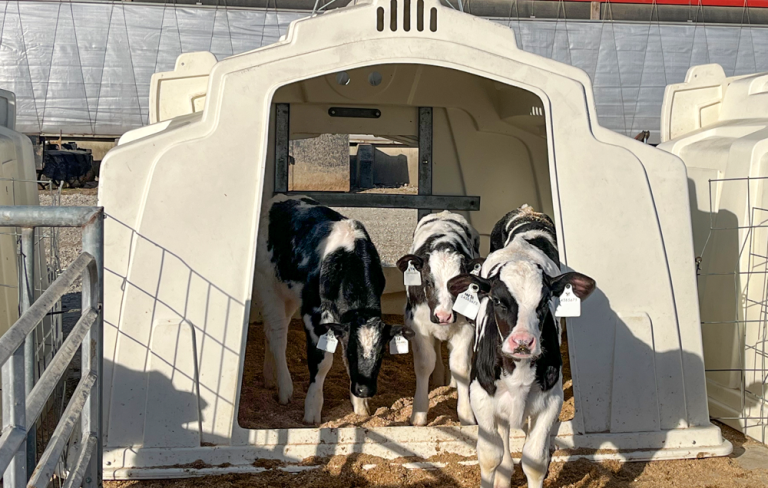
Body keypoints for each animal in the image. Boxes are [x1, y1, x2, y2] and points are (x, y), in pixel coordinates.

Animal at [253, 194, 411, 424]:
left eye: (382, 352)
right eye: (353, 352)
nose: (365, 390)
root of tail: (280, 198)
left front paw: (360, 406)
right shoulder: (314, 313)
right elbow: (322, 360)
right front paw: (312, 410)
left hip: (289, 294)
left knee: (269, 331)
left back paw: (269, 378)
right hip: (268, 287)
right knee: (277, 335)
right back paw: (285, 389)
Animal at [396, 211, 481, 426]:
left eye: (460, 285)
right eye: (427, 281)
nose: (444, 316)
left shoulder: (466, 327)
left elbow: (461, 366)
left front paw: (466, 415)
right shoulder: (418, 325)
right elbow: (425, 363)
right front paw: (418, 414)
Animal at [448, 205, 595, 488]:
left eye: (545, 300)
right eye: (497, 300)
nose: (523, 342)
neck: (518, 367)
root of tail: (526, 212)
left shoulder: (550, 400)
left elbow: (534, 461)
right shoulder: (481, 397)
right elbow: (490, 456)